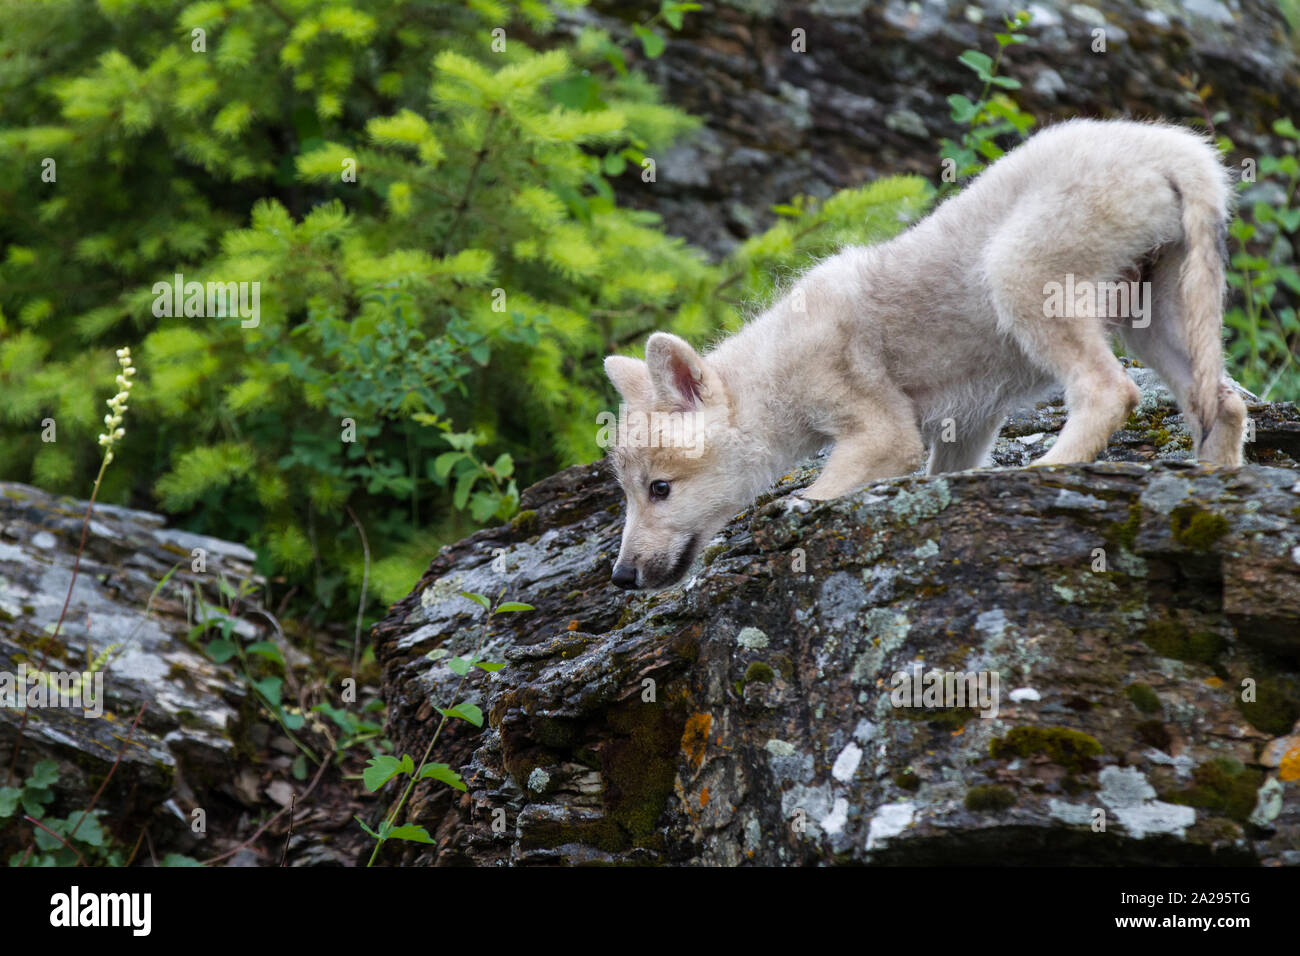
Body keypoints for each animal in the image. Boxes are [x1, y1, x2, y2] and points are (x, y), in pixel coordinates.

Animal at [604, 119, 1247, 590]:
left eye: (659, 489)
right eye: (630, 492)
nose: (622, 578)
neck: (774, 375)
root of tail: (1182, 154)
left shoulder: (885, 433)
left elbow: (822, 491)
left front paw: (795, 512)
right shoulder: (966, 427)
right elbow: (941, 474)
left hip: (1020, 275)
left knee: (1112, 390)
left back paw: (1044, 470)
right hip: (1156, 314)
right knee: (1225, 401)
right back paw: (1212, 485)